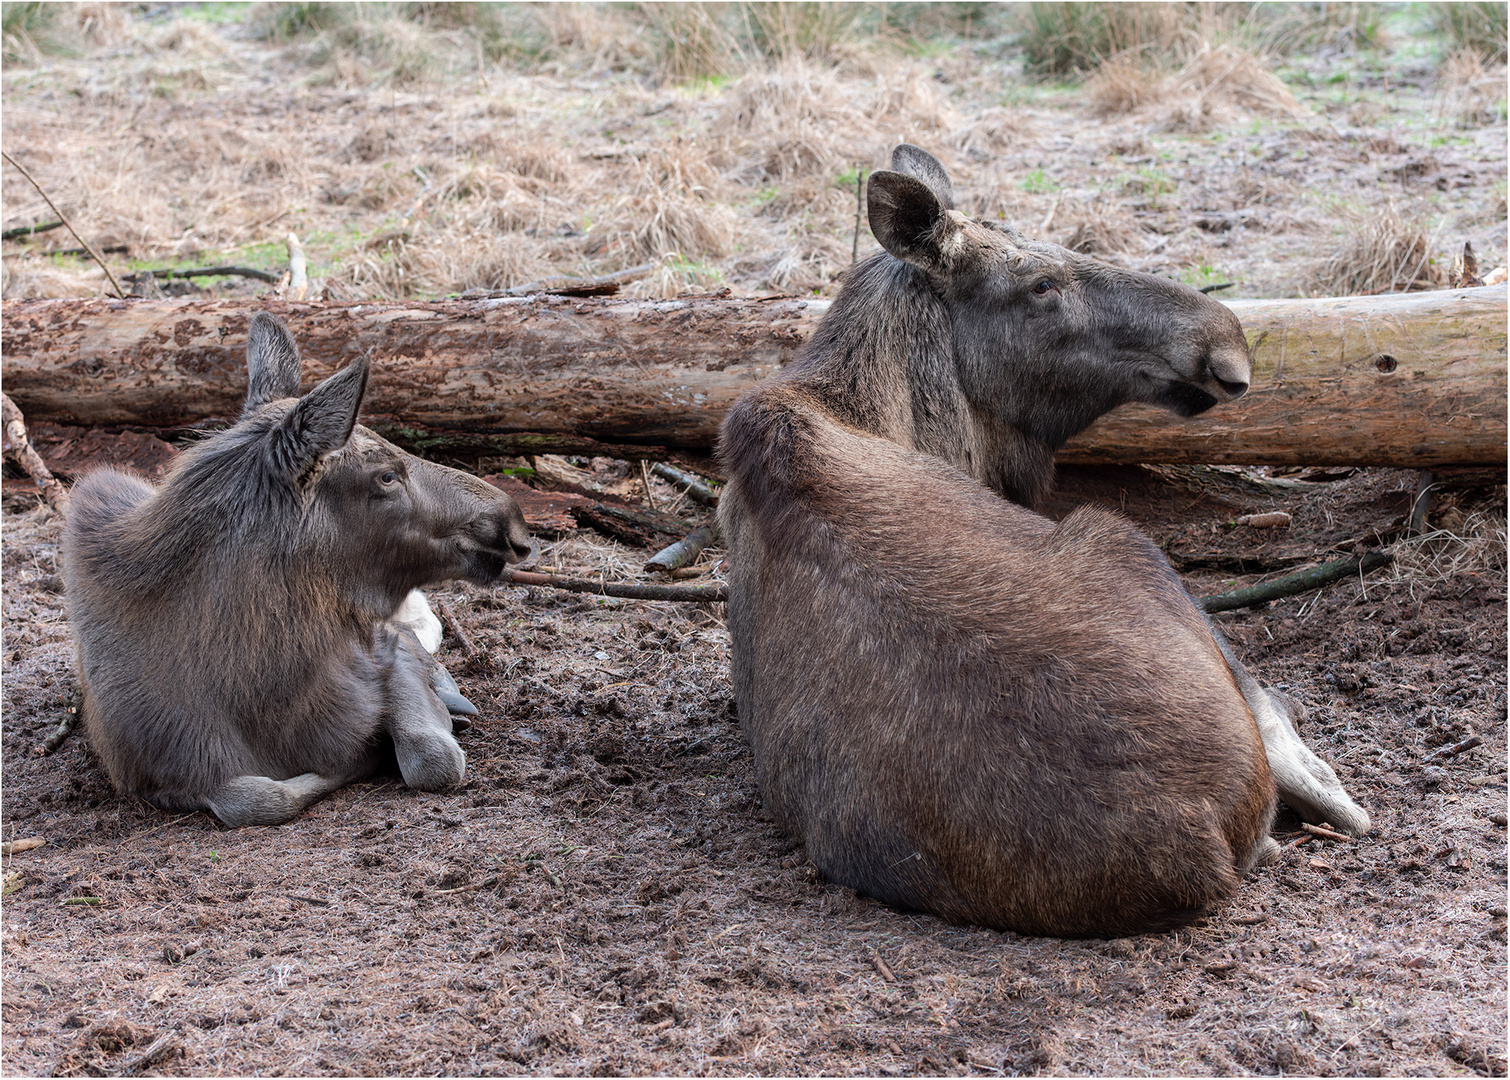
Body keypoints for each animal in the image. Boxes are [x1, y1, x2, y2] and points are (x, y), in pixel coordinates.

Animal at [64, 312, 537, 827]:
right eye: (387, 476)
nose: (514, 521)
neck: (265, 691)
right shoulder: (158, 774)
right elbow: (257, 796)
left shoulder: (384, 645)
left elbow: (432, 756)